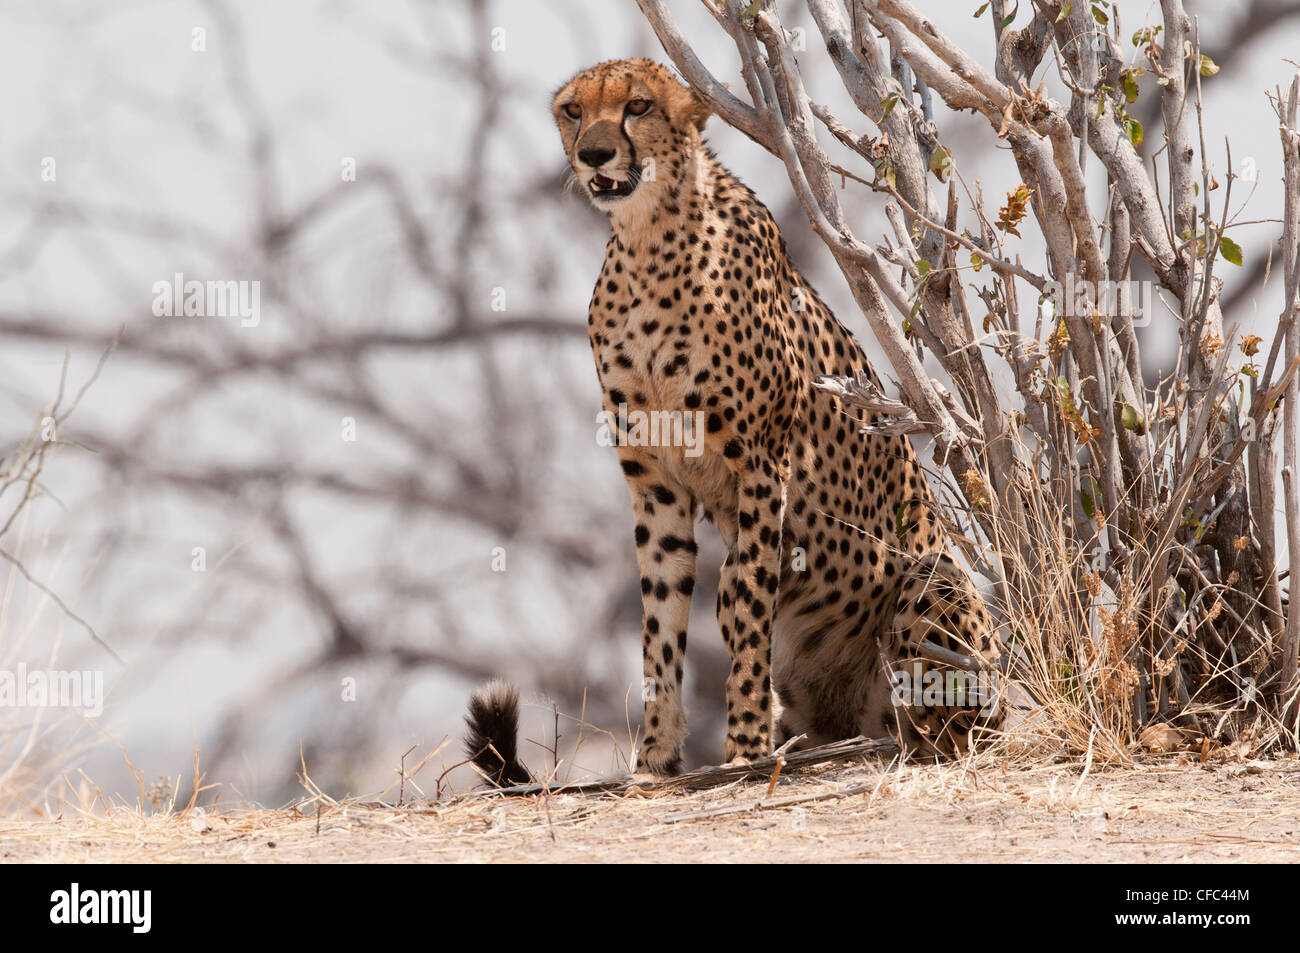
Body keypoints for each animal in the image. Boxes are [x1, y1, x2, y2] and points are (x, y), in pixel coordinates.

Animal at [465, 58, 1003, 784]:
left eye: (637, 106)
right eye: (574, 110)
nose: (594, 155)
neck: (648, 242)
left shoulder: (760, 467)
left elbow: (748, 608)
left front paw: (744, 747)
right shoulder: (655, 483)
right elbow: (659, 625)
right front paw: (656, 756)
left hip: (932, 584)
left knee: (940, 716)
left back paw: (906, 742)